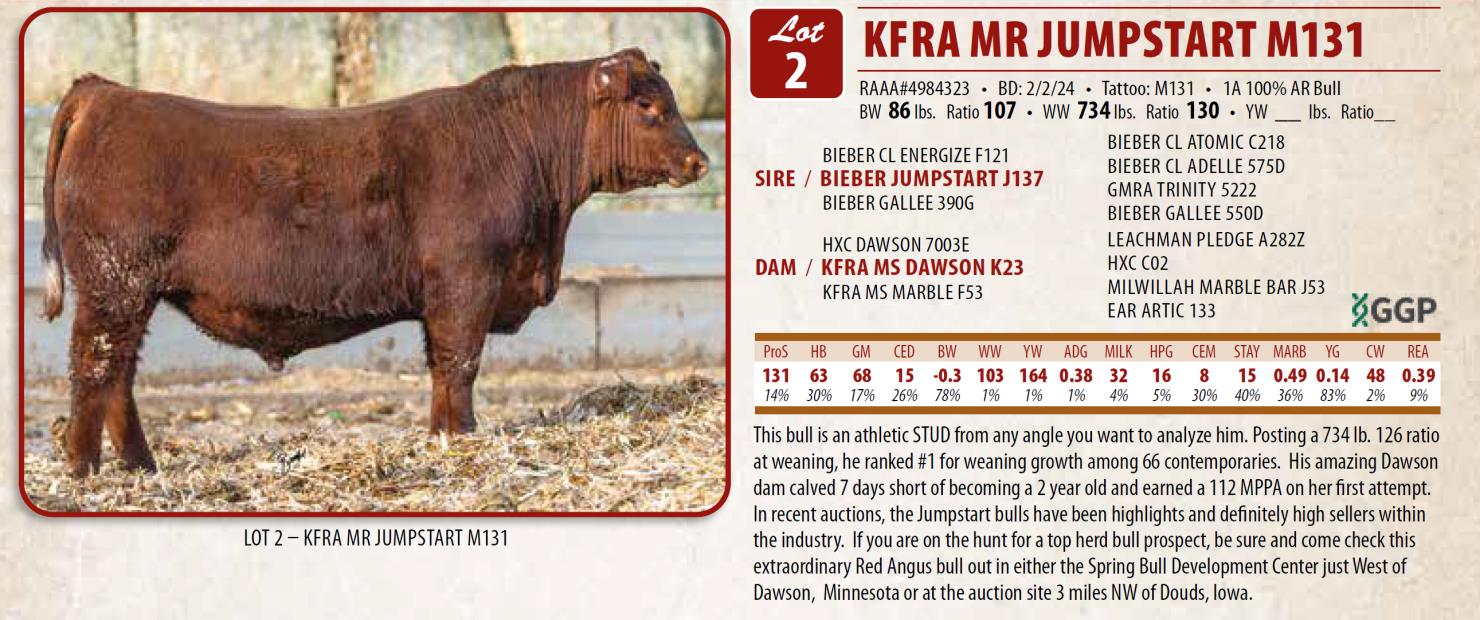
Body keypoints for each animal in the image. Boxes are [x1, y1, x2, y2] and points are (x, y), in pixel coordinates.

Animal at [39, 48, 710, 477]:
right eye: (648, 107)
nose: (701, 161)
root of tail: (107, 92)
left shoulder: (444, 297)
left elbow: (441, 368)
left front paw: (441, 438)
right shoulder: (467, 283)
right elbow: (460, 365)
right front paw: (463, 438)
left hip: (131, 292)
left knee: (120, 373)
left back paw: (139, 465)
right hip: (114, 284)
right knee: (93, 366)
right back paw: (81, 468)